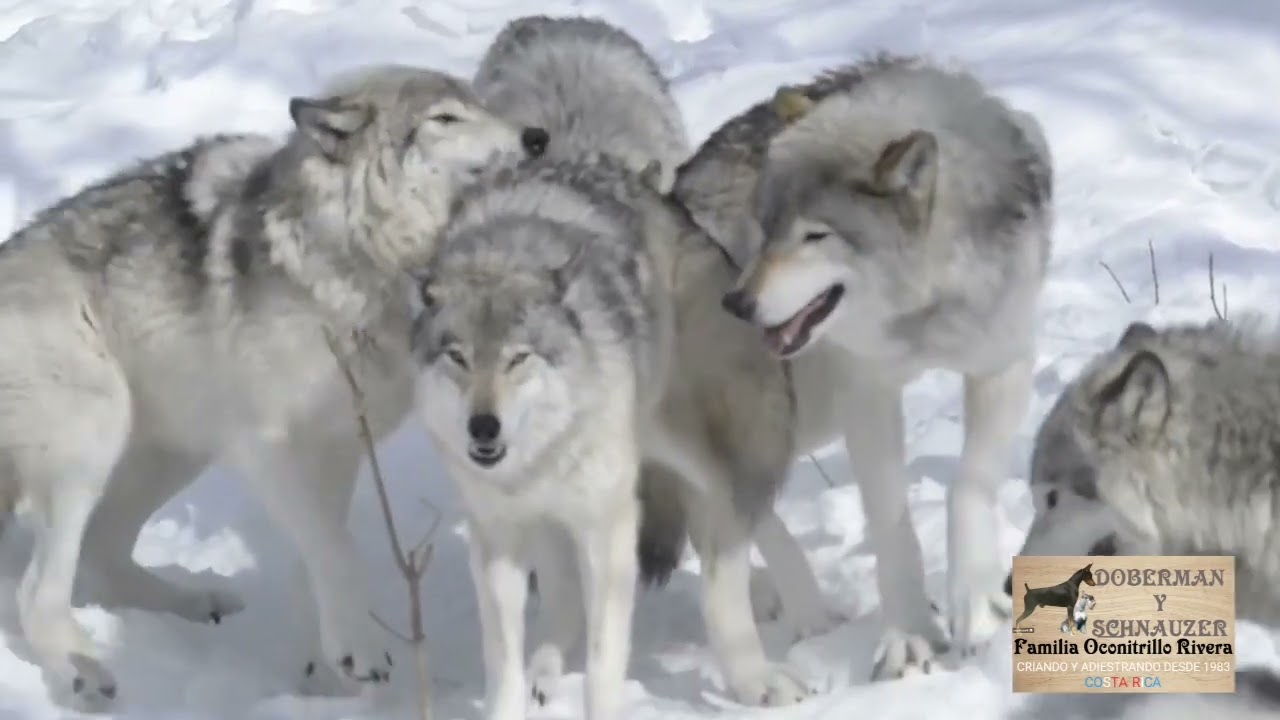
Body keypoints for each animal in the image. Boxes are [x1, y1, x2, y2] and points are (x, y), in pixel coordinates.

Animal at [0, 65, 547, 709]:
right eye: (444, 118)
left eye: (480, 104)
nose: (537, 136)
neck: (358, 260)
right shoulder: (272, 450)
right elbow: (338, 552)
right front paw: (357, 651)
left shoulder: (339, 450)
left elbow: (320, 558)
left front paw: (325, 676)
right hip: (91, 444)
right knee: (39, 591)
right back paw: (81, 670)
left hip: (171, 453)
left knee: (104, 551)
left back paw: (194, 601)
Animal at [676, 54, 1055, 678]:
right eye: (766, 228)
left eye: (815, 235)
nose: (737, 303)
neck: (918, 314)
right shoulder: (866, 396)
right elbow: (889, 521)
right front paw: (910, 637)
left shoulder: (1003, 364)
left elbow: (969, 485)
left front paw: (973, 608)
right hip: (794, 408)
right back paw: (800, 607)